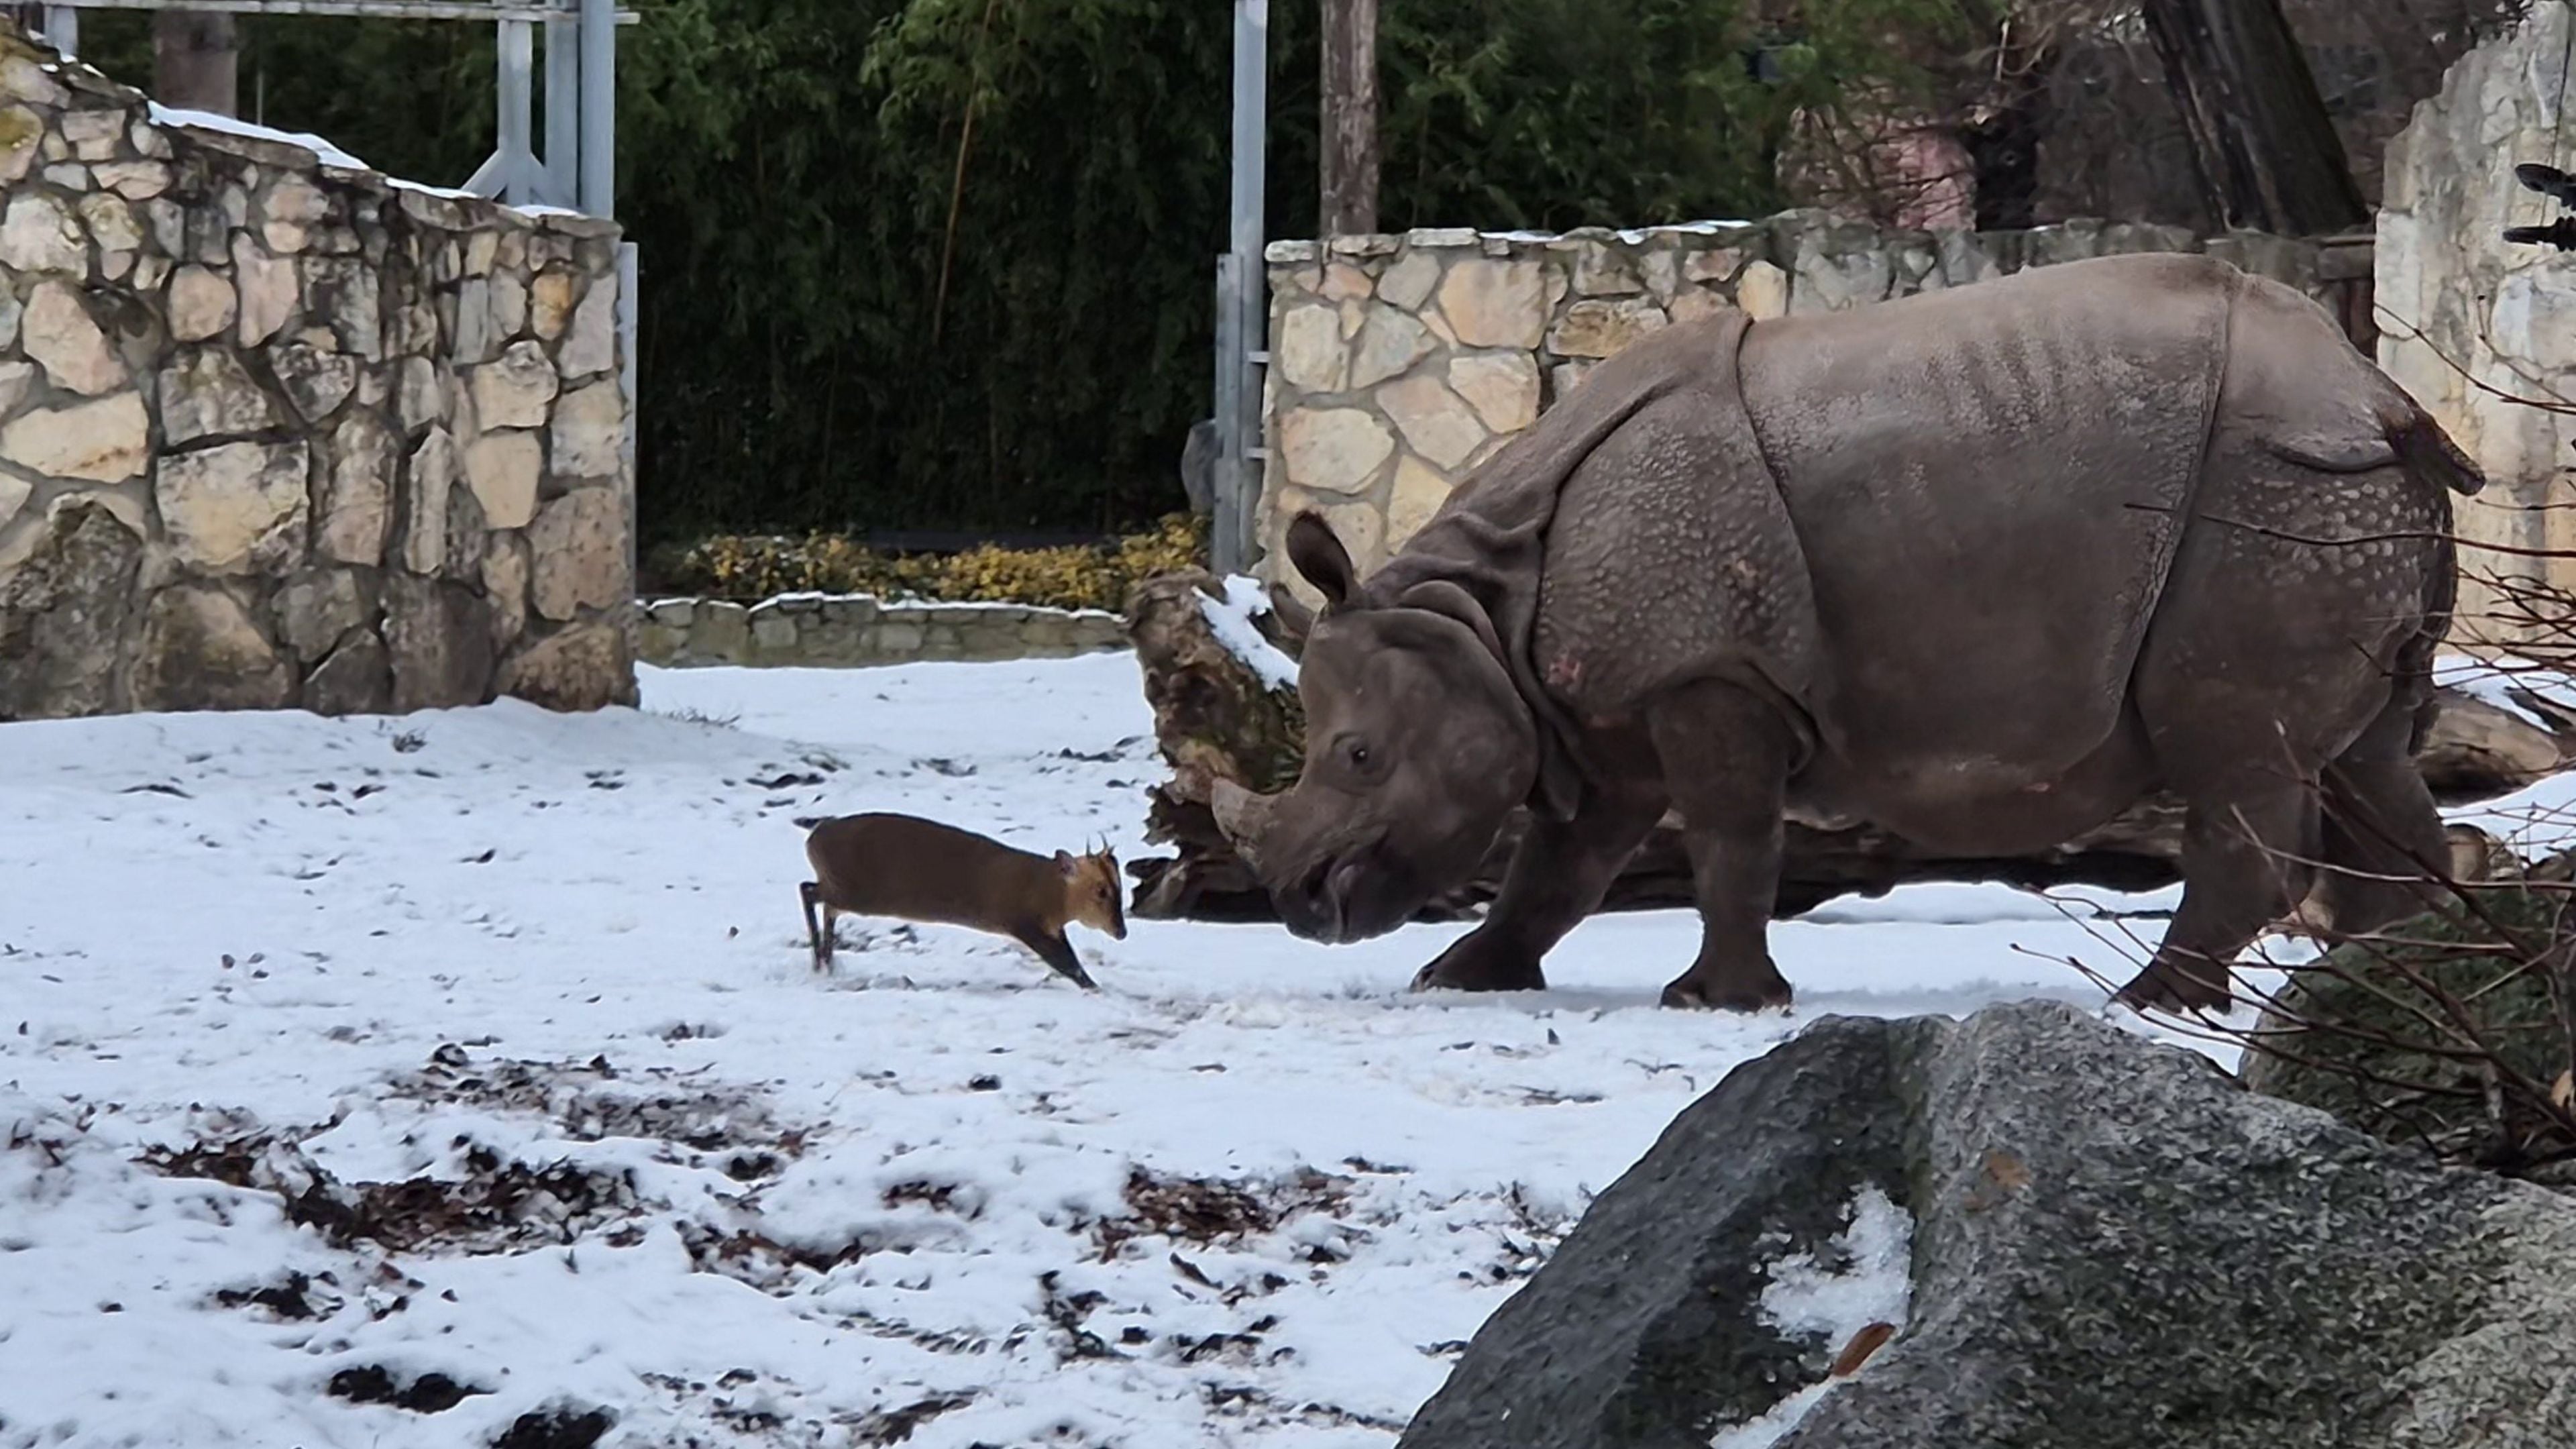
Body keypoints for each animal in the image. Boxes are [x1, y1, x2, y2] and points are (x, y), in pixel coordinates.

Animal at [1212, 252, 2483, 1013]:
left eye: (1358, 756)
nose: (1301, 906)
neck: (1481, 611)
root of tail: (2381, 395)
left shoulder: (1710, 671)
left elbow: (1730, 840)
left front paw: (1714, 1004)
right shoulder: (1597, 704)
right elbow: (1558, 864)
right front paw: (1459, 979)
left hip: (2276, 497)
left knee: (2241, 757)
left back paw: (2156, 1005)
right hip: (2338, 505)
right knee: (2372, 753)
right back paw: (2396, 979)